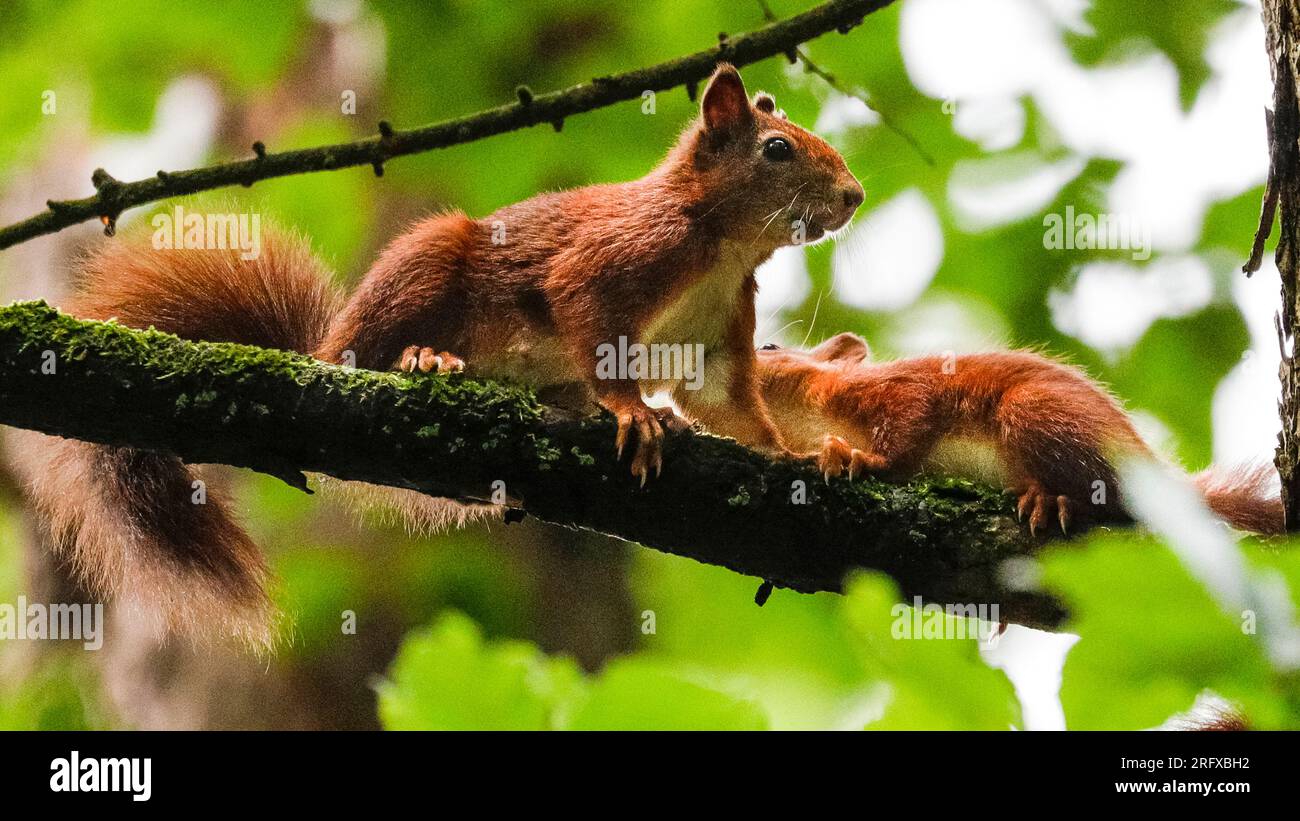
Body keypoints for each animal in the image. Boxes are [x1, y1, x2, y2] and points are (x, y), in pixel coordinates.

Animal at [9, 63, 864, 644]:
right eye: (778, 149)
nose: (854, 197)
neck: (726, 244)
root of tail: (325, 345)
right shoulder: (609, 263)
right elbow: (594, 329)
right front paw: (631, 412)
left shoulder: (718, 336)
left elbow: (731, 406)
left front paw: (791, 453)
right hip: (422, 271)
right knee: (370, 353)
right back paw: (425, 362)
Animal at [754, 333, 1283, 535]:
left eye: (768, 346)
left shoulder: (899, 390)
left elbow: (907, 428)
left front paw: (857, 457)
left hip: (1036, 411)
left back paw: (1056, 500)